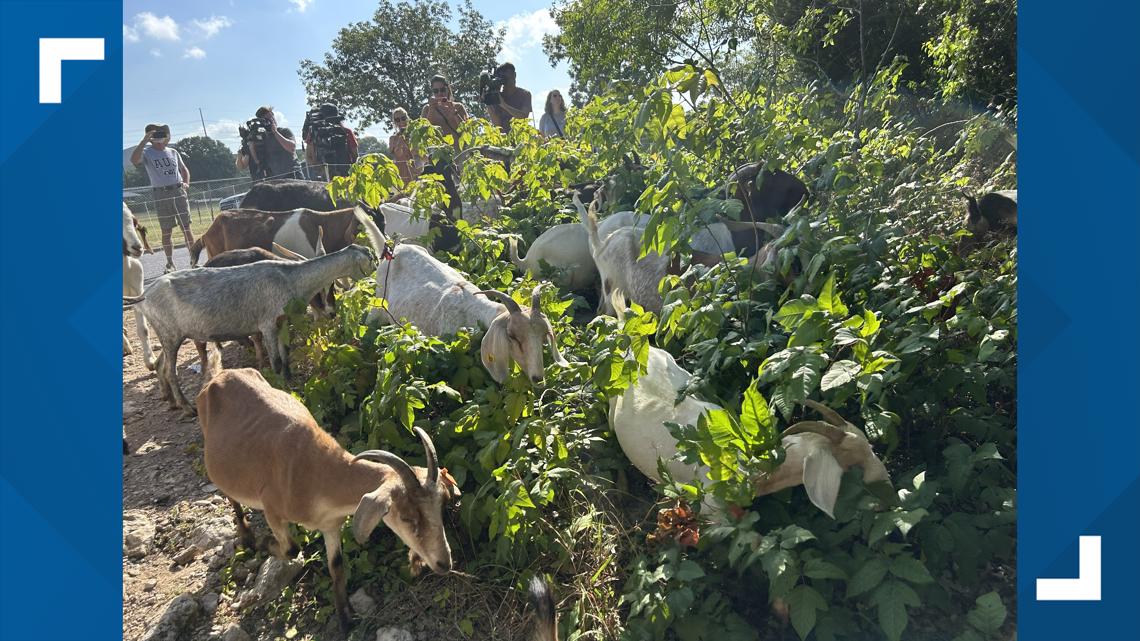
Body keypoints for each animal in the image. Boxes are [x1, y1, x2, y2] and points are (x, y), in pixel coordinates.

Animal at [129, 241, 379, 415]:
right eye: (370, 260)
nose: (332, 313)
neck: (291, 278)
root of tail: (145, 296)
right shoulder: (267, 323)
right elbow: (275, 360)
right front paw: (279, 388)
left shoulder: (282, 321)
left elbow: (286, 353)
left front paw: (289, 380)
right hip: (170, 334)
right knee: (170, 371)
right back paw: (187, 407)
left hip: (168, 334)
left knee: (161, 365)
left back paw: (171, 401)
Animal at [197, 368, 460, 634]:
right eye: (406, 516)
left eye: (440, 506)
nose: (444, 563)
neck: (316, 472)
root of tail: (220, 375)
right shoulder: (272, 508)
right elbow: (292, 549)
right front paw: (264, 542)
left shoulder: (331, 524)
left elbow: (337, 567)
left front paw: (346, 621)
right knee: (232, 497)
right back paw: (247, 536)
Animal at [355, 209, 567, 384]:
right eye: (512, 336)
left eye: (543, 336)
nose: (538, 378)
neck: (473, 311)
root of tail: (390, 251)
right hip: (377, 308)